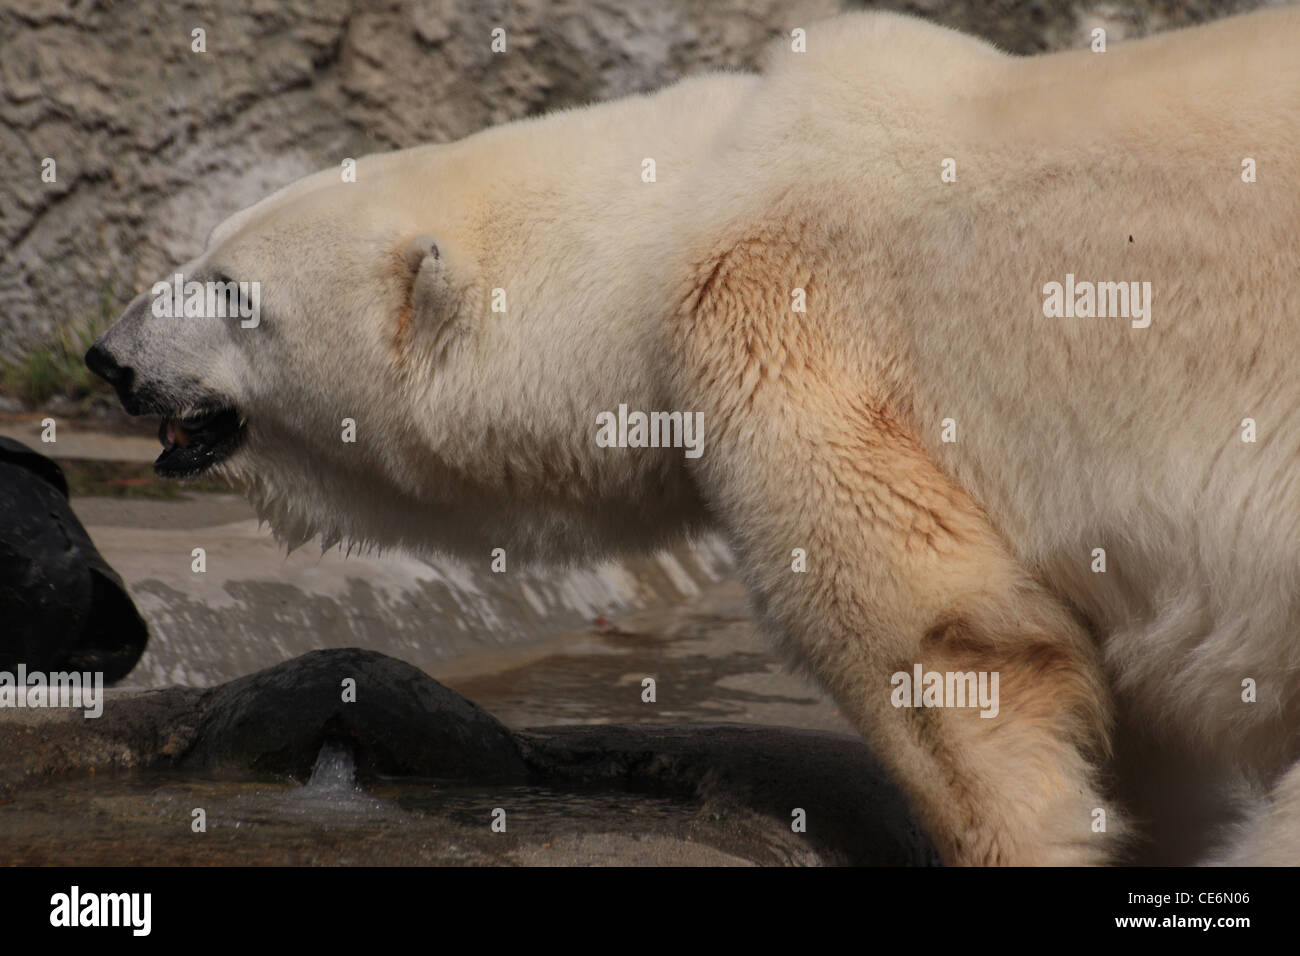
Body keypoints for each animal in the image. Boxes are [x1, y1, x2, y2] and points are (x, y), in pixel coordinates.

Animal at [86, 7, 1300, 865]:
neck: (695, 193)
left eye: (233, 291)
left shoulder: (790, 323)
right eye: (205, 249)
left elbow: (930, 629)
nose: (107, 354)